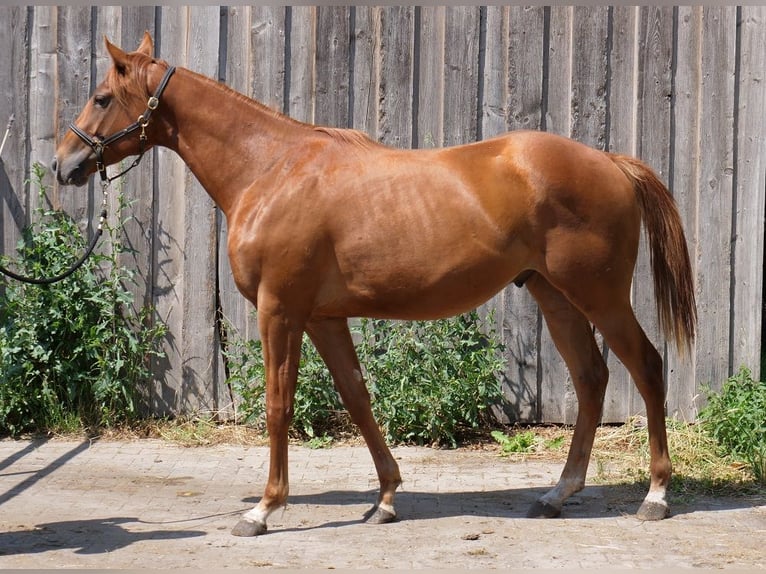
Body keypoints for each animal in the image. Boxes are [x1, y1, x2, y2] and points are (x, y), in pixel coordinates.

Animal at [52, 32, 696, 537]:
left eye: (102, 97)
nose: (63, 164)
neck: (270, 169)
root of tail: (610, 163)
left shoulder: (279, 310)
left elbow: (279, 405)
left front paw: (262, 510)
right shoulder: (322, 317)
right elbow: (357, 398)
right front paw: (386, 498)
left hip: (599, 296)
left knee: (646, 366)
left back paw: (656, 496)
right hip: (553, 295)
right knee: (592, 379)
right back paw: (558, 493)